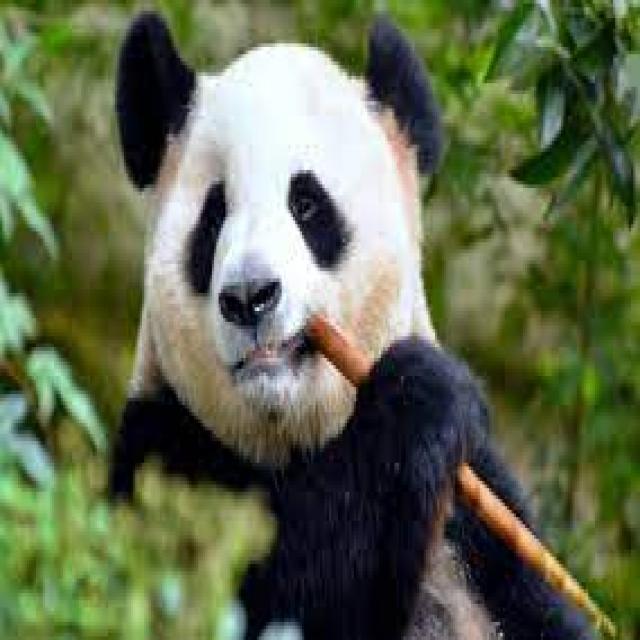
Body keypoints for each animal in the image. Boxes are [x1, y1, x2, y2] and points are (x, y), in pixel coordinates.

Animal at [108, 12, 593, 640]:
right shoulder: (160, 449)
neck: (295, 438)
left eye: (307, 205)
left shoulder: (480, 512)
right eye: (213, 218)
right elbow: (279, 594)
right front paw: (419, 391)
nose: (248, 297)